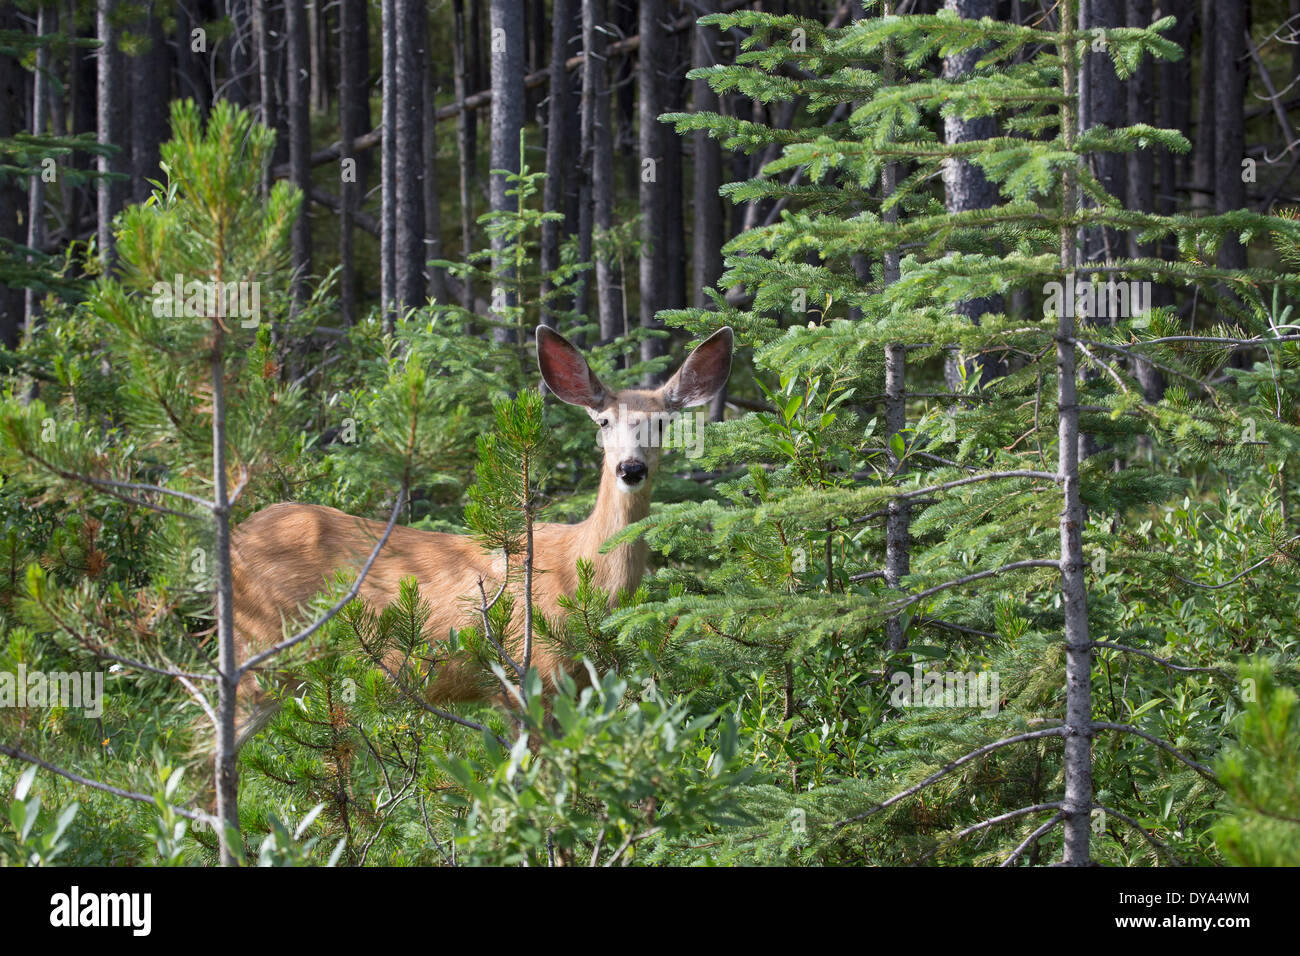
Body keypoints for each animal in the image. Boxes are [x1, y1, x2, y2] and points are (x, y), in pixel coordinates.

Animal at [228, 324, 733, 747]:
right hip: (258, 649)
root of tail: (234, 537)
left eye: (662, 422)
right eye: (603, 421)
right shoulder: (527, 676)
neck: (583, 572)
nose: (630, 468)